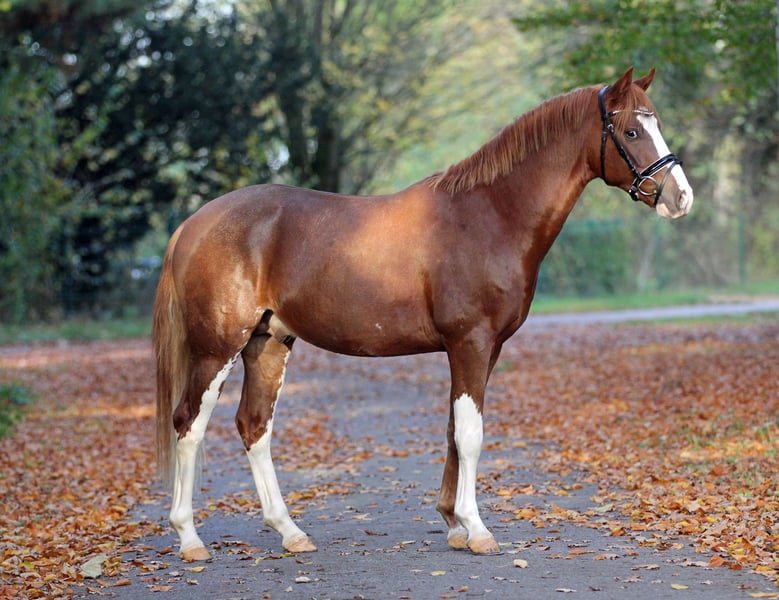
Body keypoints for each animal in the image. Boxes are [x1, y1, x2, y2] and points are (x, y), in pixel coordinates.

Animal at [153, 67, 693, 561]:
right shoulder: (470, 342)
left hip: (267, 343)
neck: (488, 215)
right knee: (189, 424)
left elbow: (455, 430)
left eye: (656, 123)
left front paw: (453, 524)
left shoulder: (485, 349)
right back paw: (190, 539)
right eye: (631, 131)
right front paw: (477, 530)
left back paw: (290, 532)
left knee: (254, 426)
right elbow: (471, 435)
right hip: (217, 348)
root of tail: (193, 224)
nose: (680, 197)